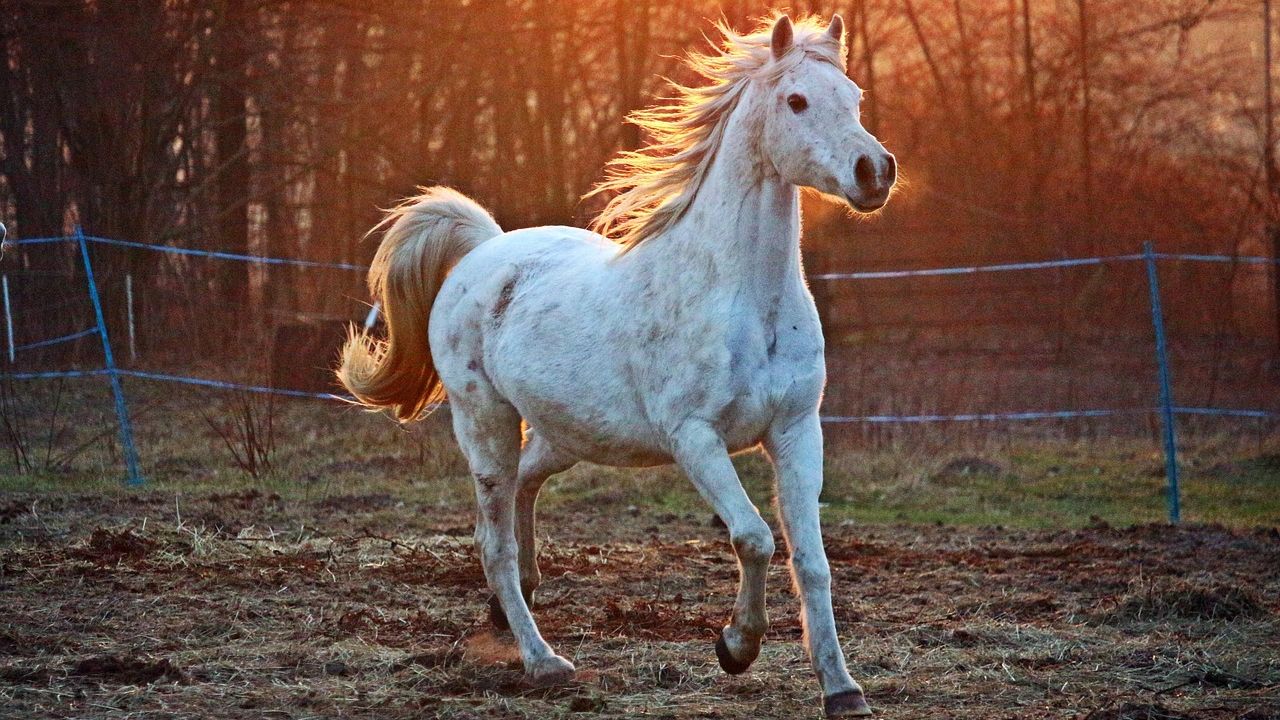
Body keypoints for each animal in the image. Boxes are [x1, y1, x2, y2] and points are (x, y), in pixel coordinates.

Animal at [337, 13, 896, 717]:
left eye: (853, 97)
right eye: (796, 101)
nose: (875, 171)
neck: (744, 298)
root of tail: (485, 250)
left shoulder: (796, 430)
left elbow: (813, 562)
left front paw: (842, 689)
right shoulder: (695, 439)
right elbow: (755, 538)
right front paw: (735, 647)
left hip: (567, 433)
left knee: (524, 489)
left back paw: (510, 606)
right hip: (485, 423)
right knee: (493, 541)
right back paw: (543, 660)